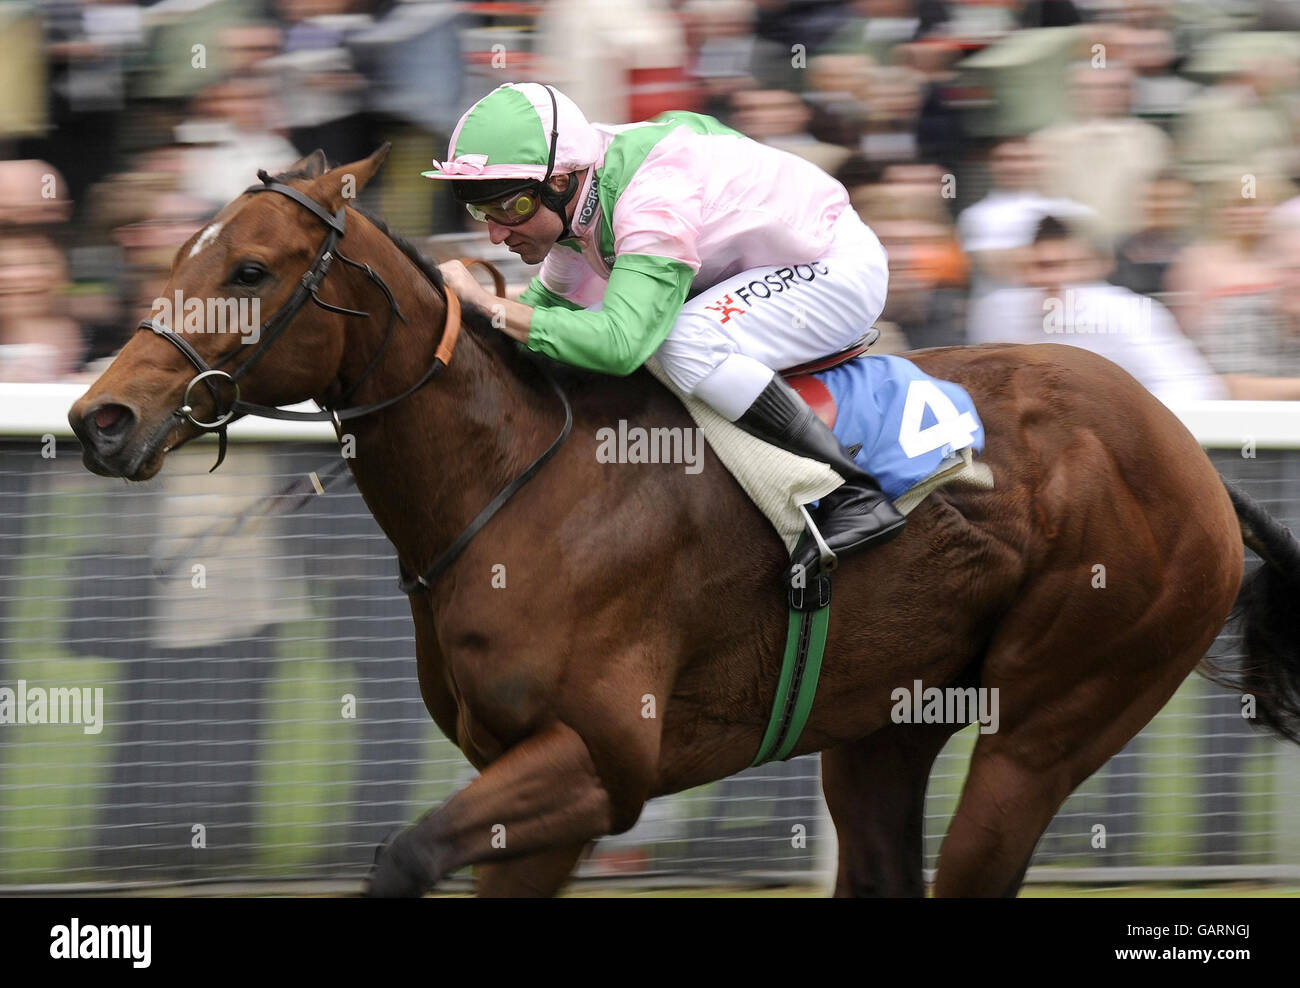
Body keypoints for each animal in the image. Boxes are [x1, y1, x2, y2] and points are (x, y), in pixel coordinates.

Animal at [68, 147, 1300, 897]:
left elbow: (406, 854)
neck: (517, 483)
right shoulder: (529, 784)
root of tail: (1188, 454)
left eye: (250, 265)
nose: (99, 418)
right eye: (175, 252)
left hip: (1049, 723)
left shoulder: (597, 760)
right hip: (884, 725)